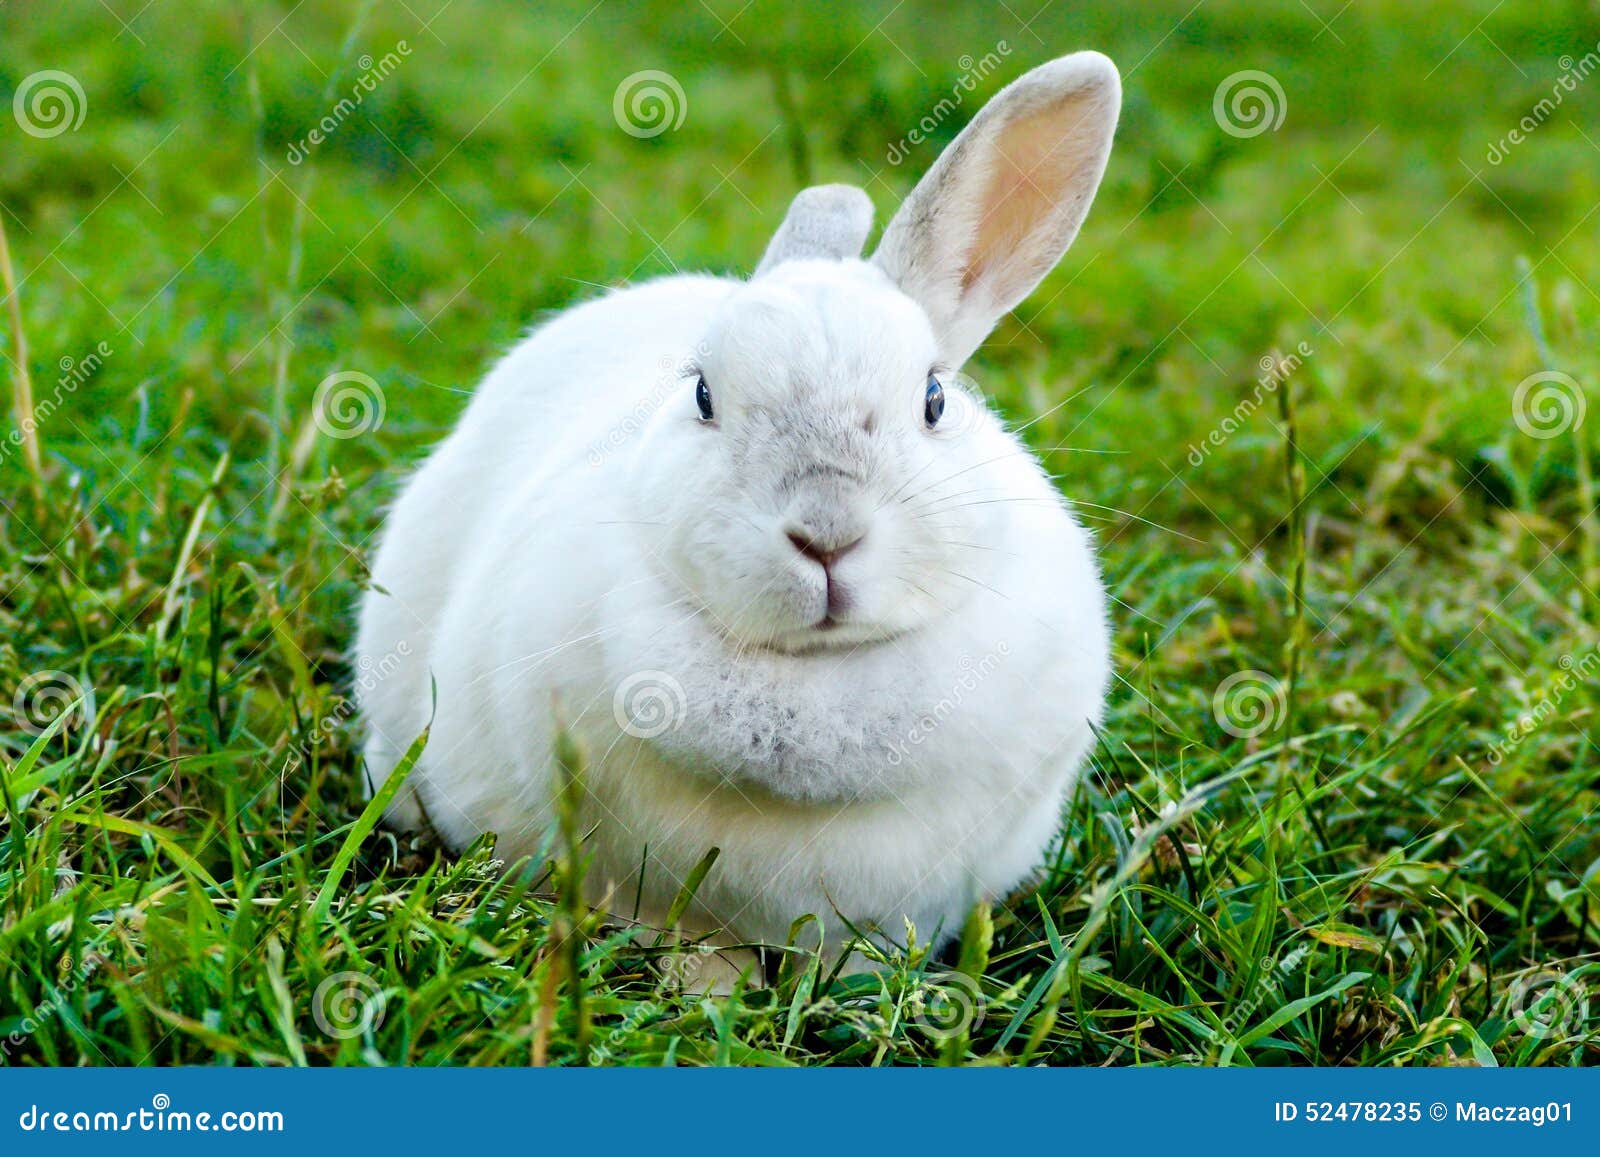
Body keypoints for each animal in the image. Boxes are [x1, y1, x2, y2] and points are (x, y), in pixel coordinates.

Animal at [355, 51, 1120, 987]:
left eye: (936, 399)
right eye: (703, 396)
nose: (826, 533)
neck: (813, 679)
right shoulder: (638, 884)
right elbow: (681, 934)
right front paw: (712, 987)